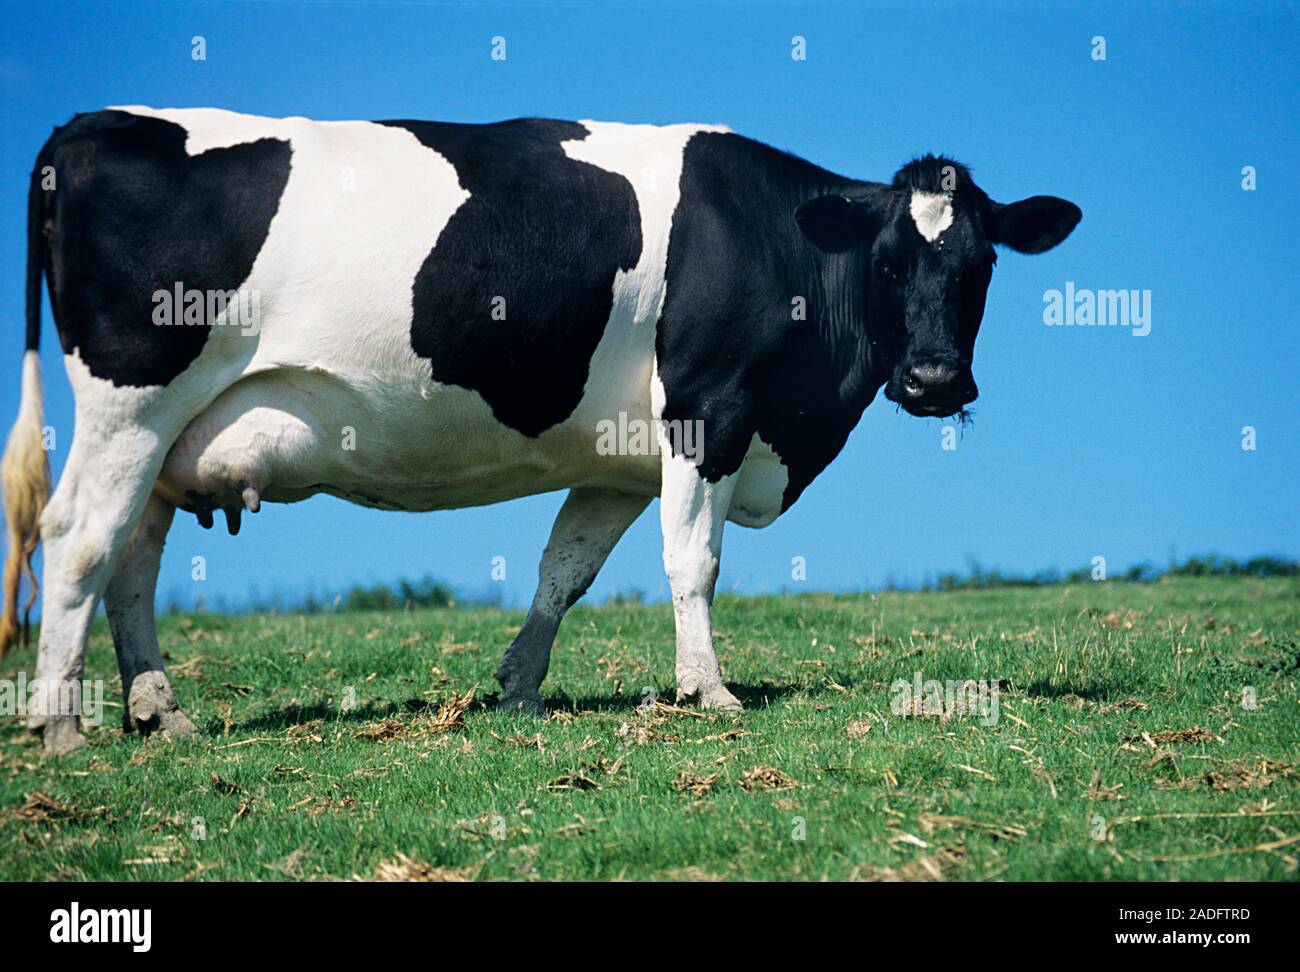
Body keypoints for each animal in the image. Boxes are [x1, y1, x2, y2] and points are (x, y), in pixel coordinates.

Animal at [0, 108, 1080, 753]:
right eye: (889, 261)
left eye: (982, 264)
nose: (934, 380)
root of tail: (93, 123)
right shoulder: (709, 405)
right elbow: (693, 560)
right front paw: (708, 689)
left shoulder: (620, 457)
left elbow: (565, 568)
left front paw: (519, 688)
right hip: (130, 402)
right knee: (81, 539)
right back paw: (61, 725)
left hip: (172, 432)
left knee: (135, 552)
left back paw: (160, 708)